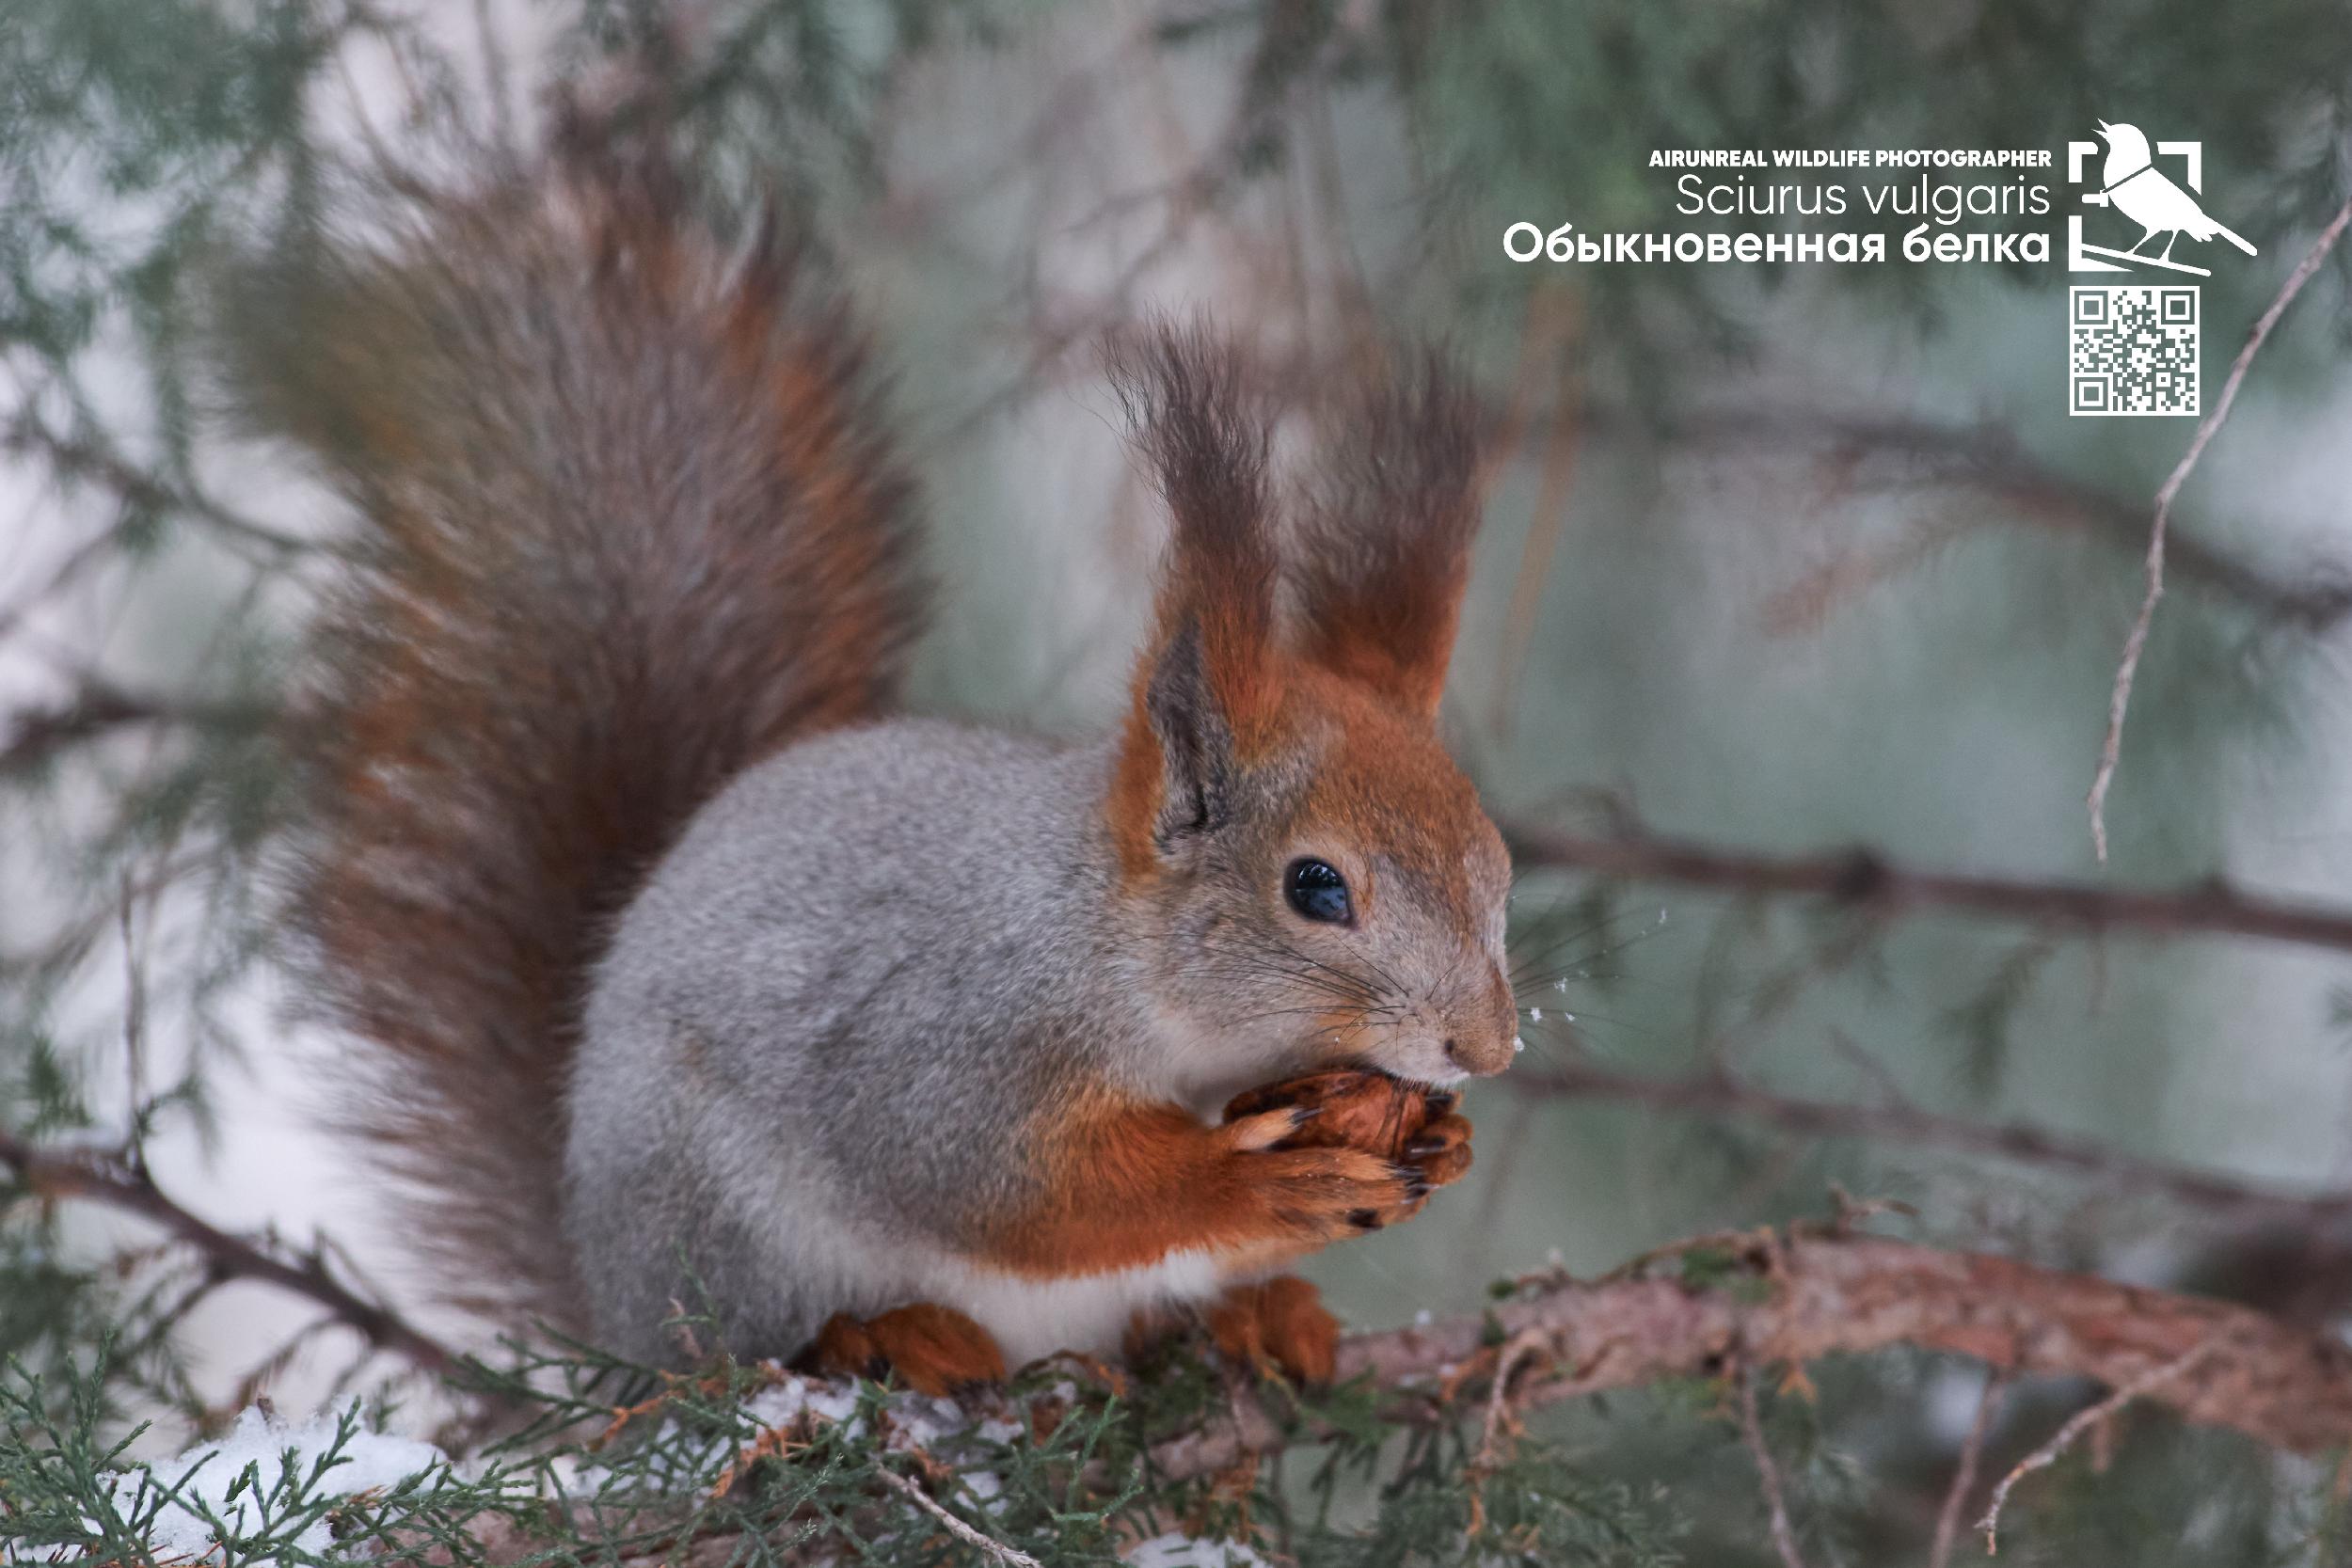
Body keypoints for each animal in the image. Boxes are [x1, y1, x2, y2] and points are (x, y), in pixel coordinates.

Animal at [247, 150, 1515, 1401]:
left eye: (1498, 870)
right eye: (1315, 887)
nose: (1486, 1050)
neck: (1129, 966)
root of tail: (615, 1324)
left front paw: (1445, 1144)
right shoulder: (950, 1042)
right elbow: (1004, 1186)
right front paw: (1248, 1186)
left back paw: (1257, 1312)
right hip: (719, 1224)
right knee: (762, 1340)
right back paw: (888, 1335)